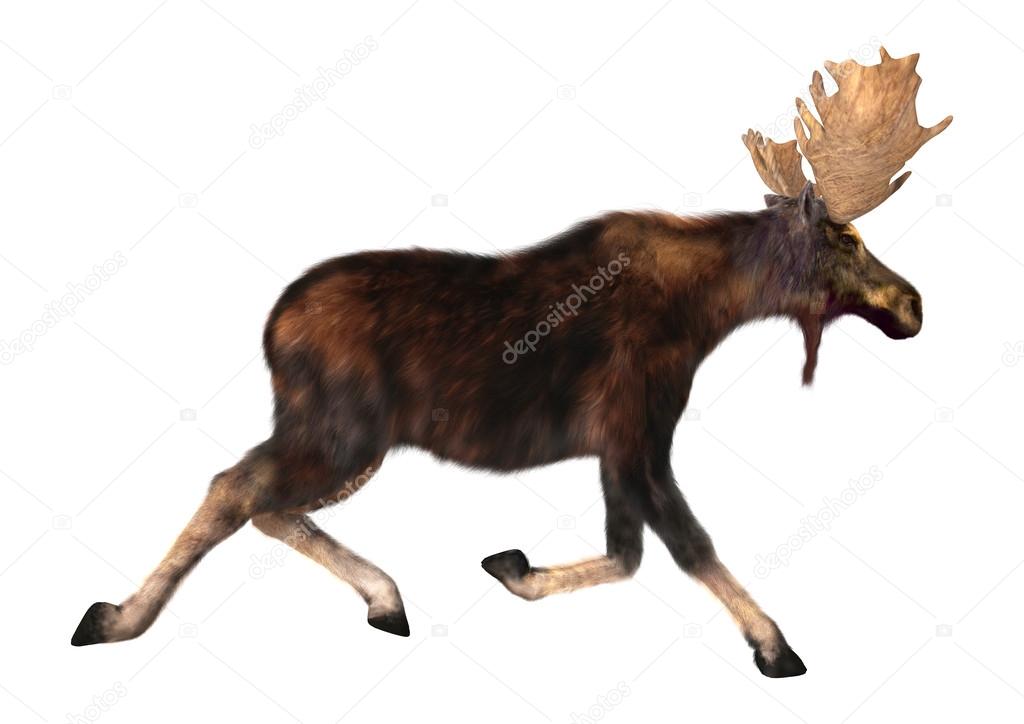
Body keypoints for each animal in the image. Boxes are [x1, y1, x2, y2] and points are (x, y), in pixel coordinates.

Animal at [72, 48, 951, 678]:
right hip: (339, 433)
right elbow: (682, 546)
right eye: (846, 238)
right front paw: (774, 644)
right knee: (234, 488)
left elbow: (628, 553)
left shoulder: (617, 447)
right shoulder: (637, 430)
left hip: (350, 442)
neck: (710, 311)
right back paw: (116, 618)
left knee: (266, 505)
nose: (913, 304)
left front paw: (512, 566)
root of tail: (270, 326)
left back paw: (383, 597)